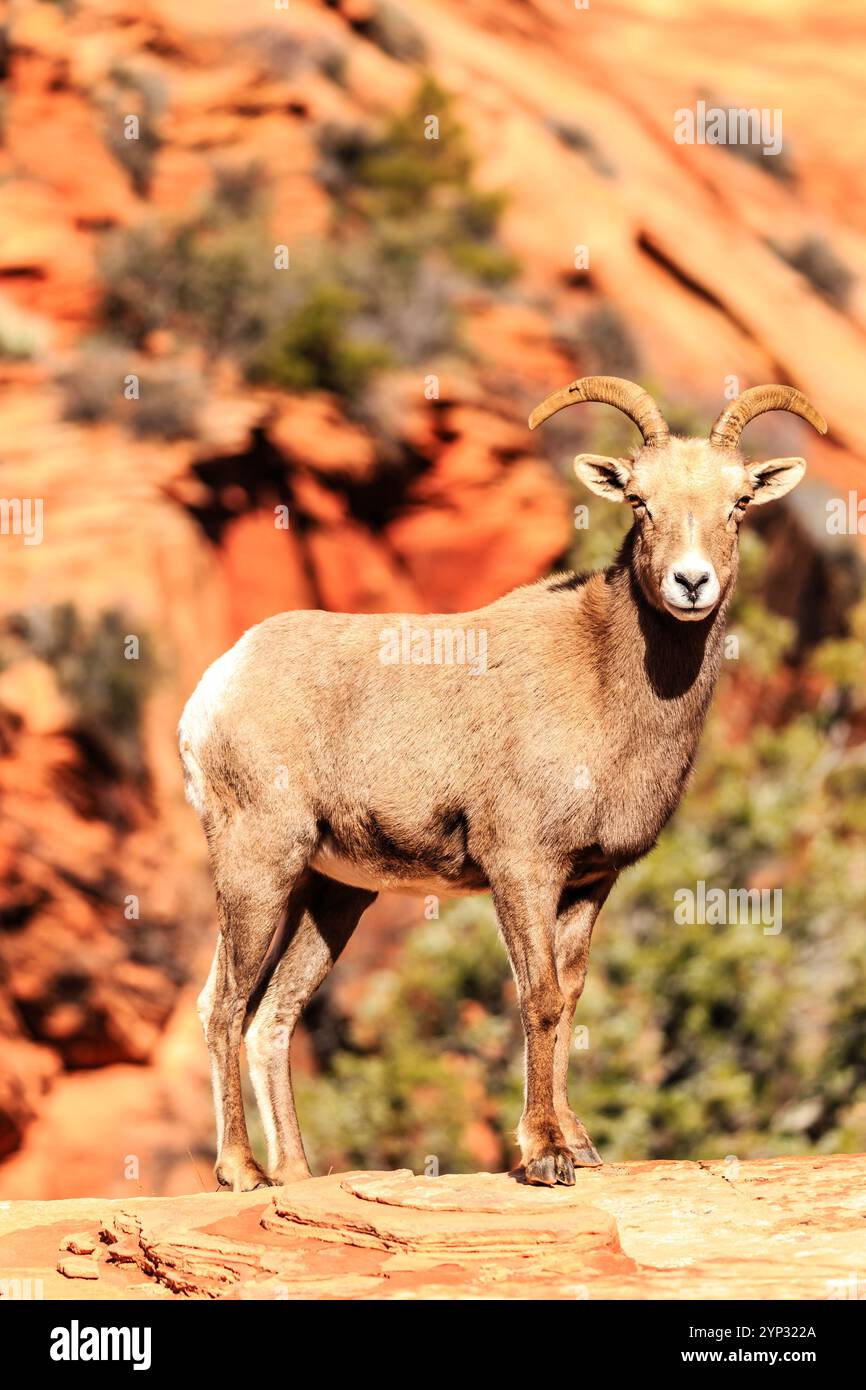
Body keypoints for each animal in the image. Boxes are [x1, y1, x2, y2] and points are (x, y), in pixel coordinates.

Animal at [179, 377, 826, 1189]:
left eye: (739, 502)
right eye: (639, 500)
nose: (690, 583)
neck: (605, 686)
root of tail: (217, 684)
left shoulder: (587, 882)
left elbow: (571, 999)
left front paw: (579, 1144)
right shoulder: (521, 867)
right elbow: (540, 998)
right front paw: (545, 1154)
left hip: (332, 894)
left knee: (272, 1017)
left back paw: (297, 1174)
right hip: (258, 868)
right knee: (223, 1004)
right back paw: (241, 1172)